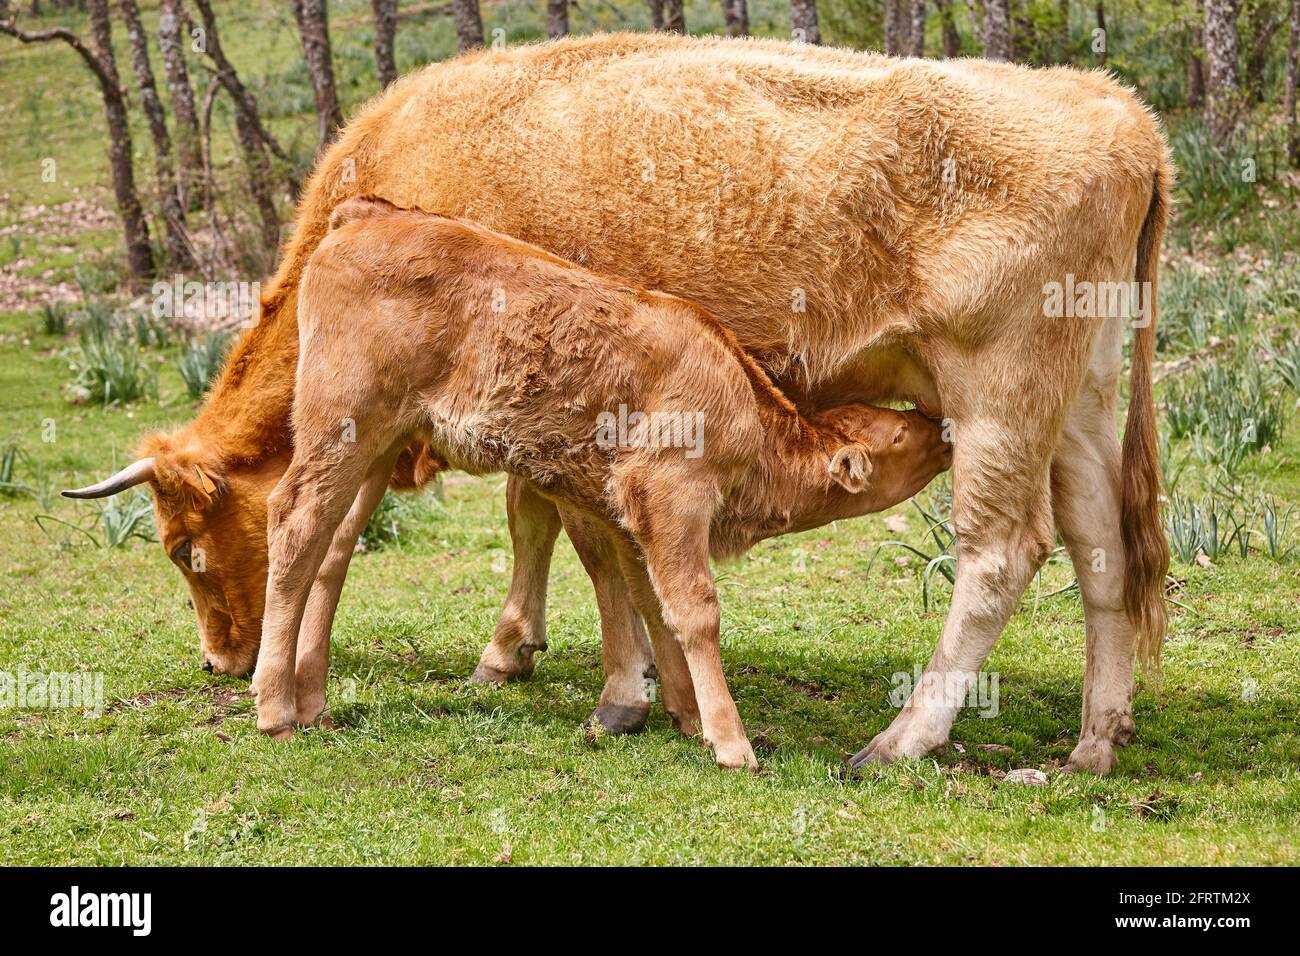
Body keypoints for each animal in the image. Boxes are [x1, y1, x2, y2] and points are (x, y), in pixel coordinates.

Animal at [252, 195, 952, 767]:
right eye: (899, 436)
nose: (939, 425)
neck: (740, 403)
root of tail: (367, 216)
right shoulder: (673, 498)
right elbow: (694, 609)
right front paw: (730, 742)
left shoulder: (630, 515)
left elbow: (648, 597)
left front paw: (684, 712)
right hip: (340, 427)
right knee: (294, 524)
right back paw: (275, 709)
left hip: (378, 446)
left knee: (332, 546)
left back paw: (311, 700)